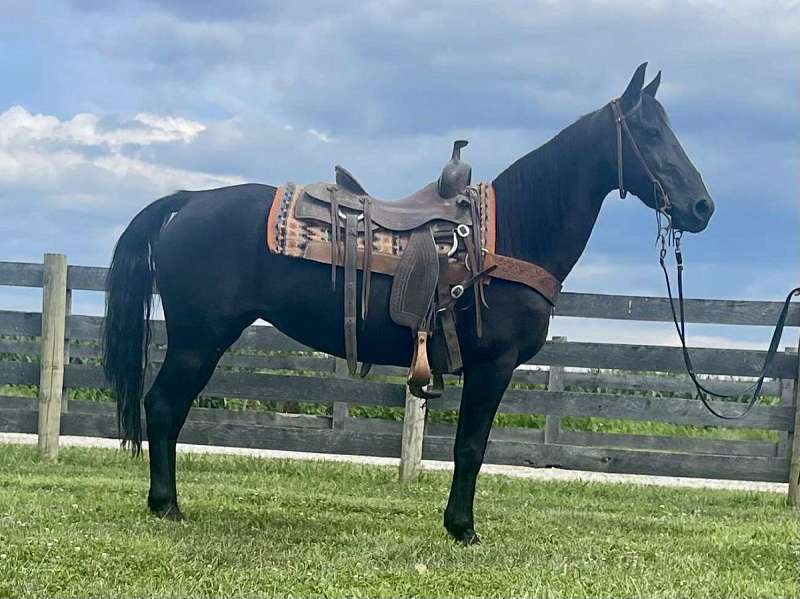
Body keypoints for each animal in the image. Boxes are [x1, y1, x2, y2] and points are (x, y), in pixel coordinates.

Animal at [103, 63, 713, 544]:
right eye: (649, 131)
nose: (702, 208)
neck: (510, 235)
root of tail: (189, 201)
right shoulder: (493, 367)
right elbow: (471, 447)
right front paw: (462, 529)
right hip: (198, 339)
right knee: (164, 407)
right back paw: (167, 505)